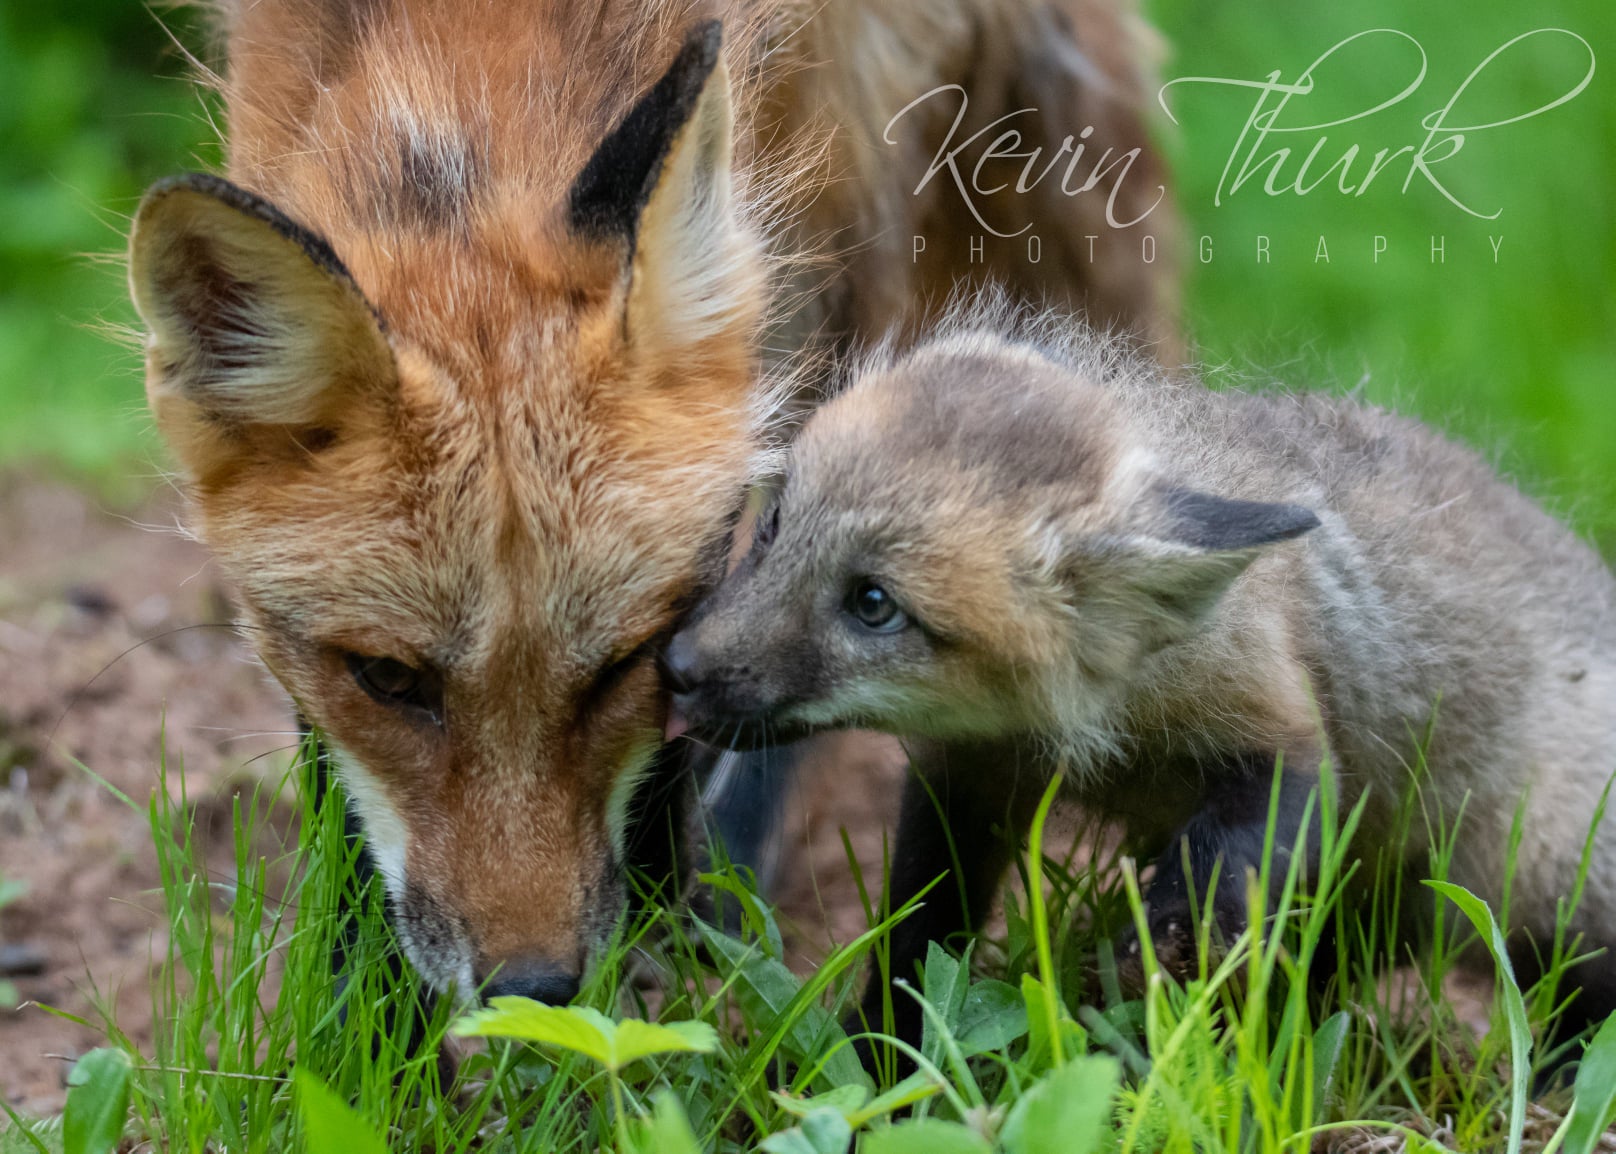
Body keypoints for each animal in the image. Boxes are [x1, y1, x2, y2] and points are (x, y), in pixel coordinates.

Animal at [662, 296, 1616, 1056]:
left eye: (872, 604)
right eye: (771, 527)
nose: (676, 669)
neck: (1098, 729)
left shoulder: (1283, 739)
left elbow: (1210, 890)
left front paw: (1148, 985)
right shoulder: (967, 777)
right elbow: (919, 940)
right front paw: (881, 1058)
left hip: (1544, 885)